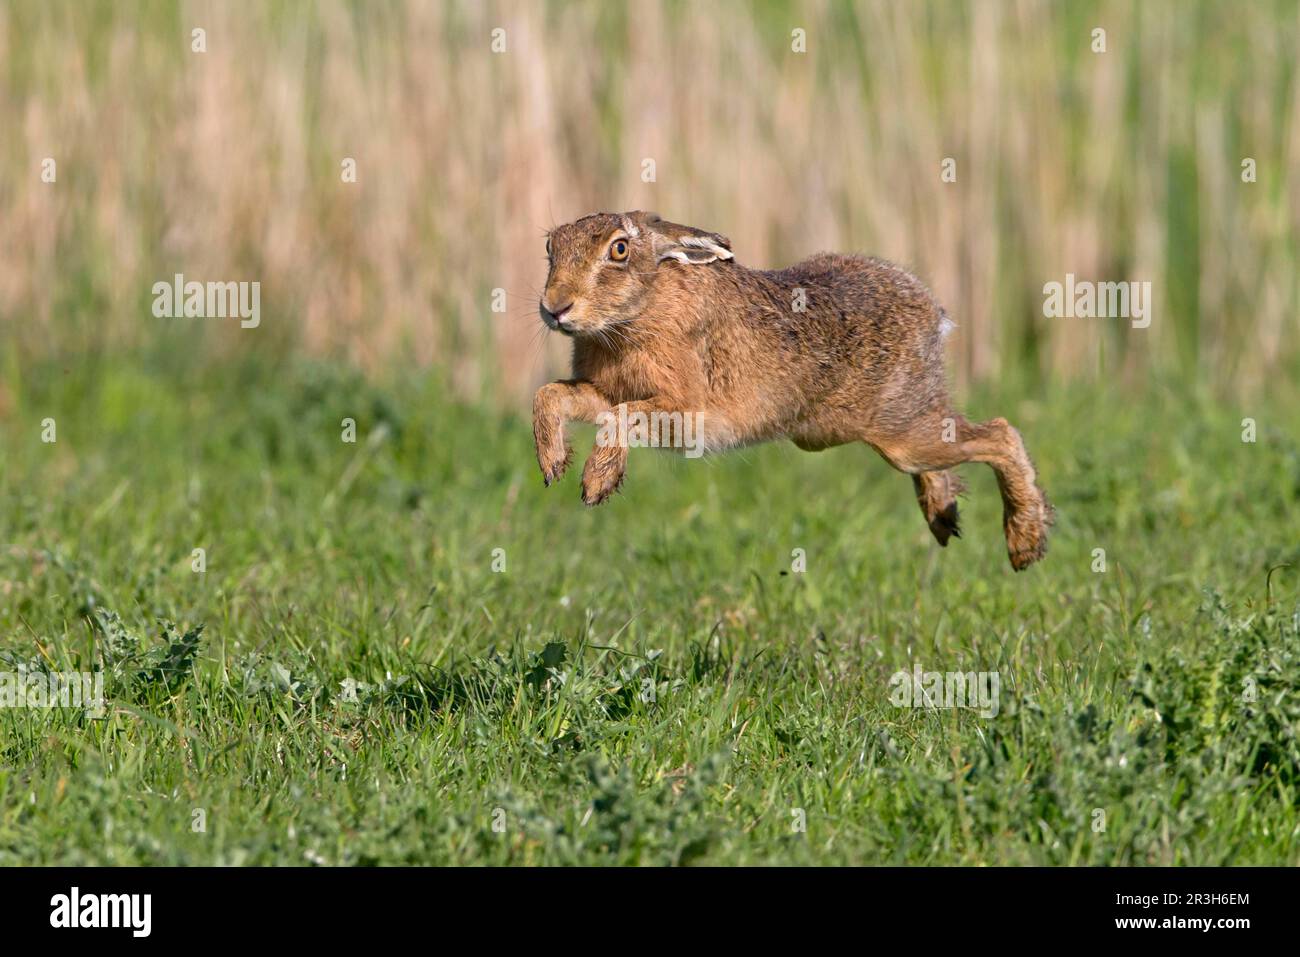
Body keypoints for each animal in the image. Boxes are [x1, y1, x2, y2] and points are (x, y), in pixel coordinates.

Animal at [532, 210, 1052, 570]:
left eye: (619, 250)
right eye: (550, 247)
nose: (555, 308)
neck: (637, 312)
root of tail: (932, 311)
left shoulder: (686, 411)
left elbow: (620, 417)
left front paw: (597, 482)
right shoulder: (602, 390)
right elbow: (552, 395)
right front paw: (554, 463)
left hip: (903, 433)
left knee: (1000, 433)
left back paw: (1024, 541)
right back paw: (943, 513)